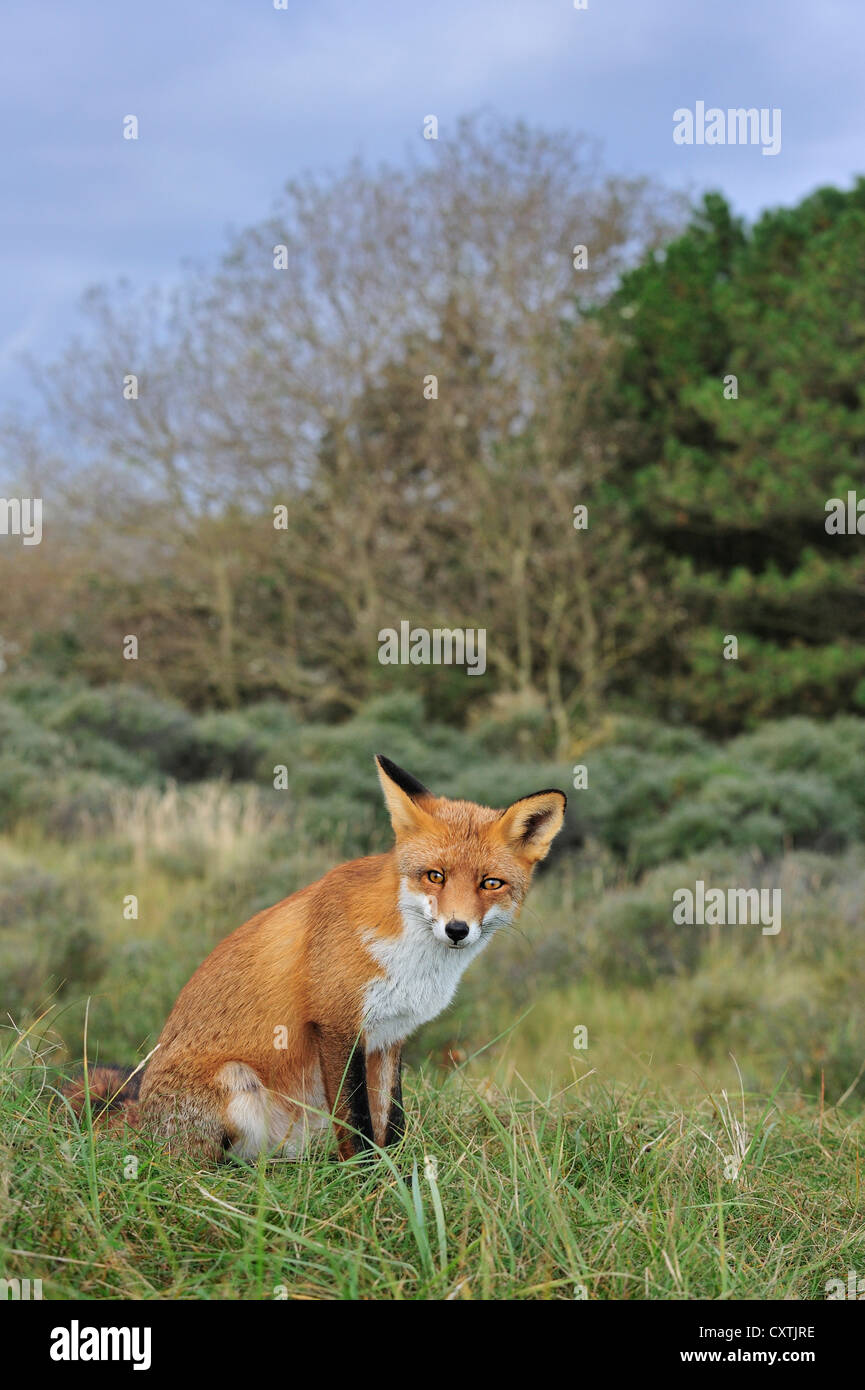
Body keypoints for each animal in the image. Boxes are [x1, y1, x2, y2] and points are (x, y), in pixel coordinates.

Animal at [68, 756, 565, 1162]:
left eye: (491, 883)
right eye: (435, 876)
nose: (457, 929)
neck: (412, 960)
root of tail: (142, 1122)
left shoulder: (390, 1036)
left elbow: (391, 1119)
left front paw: (399, 1177)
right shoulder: (336, 1025)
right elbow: (357, 1123)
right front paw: (367, 1184)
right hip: (235, 1082)